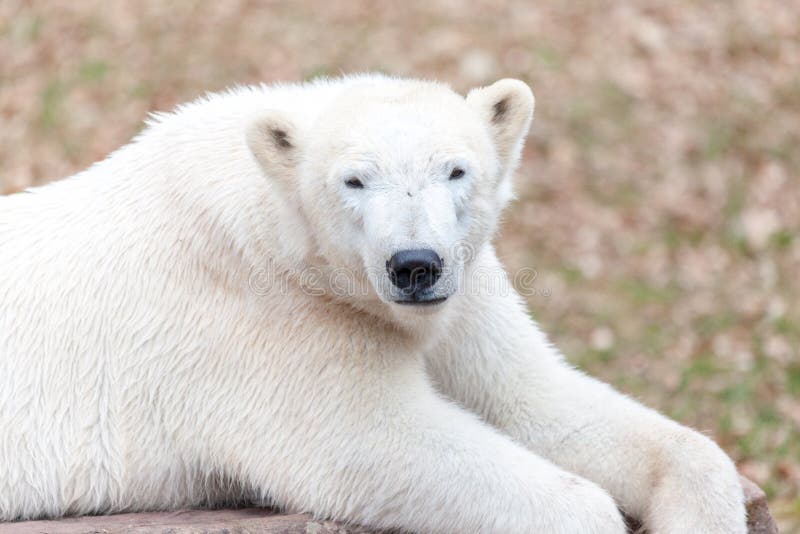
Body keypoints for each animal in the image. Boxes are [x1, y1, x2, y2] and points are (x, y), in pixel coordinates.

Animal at [0, 74, 746, 533]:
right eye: (355, 180)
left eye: (456, 169)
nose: (415, 265)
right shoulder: (262, 318)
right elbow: (369, 440)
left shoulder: (465, 296)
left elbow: (535, 401)